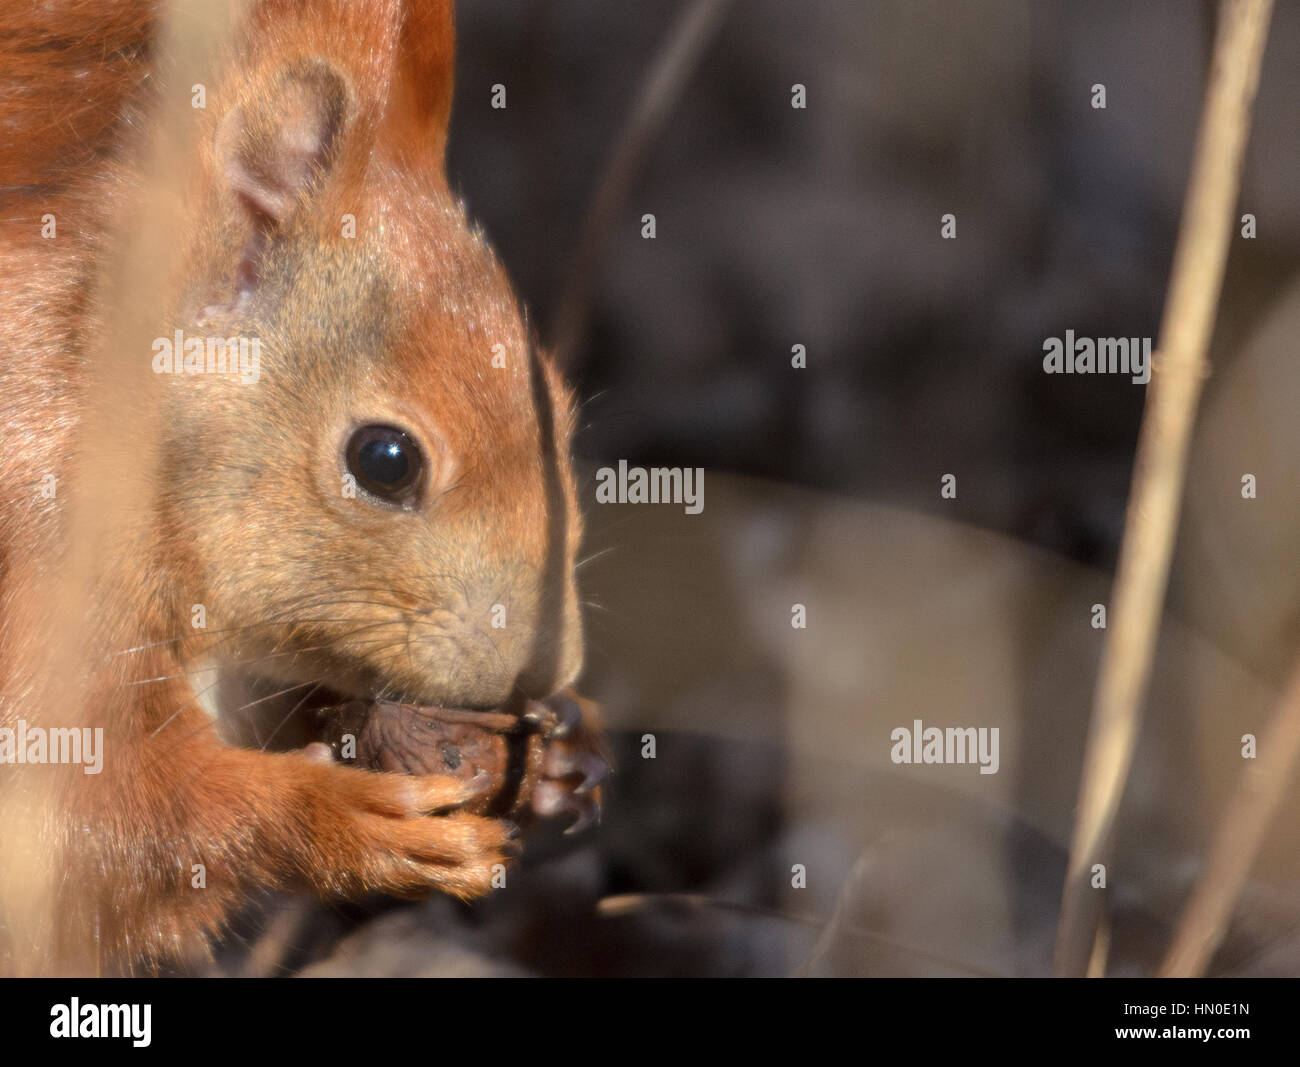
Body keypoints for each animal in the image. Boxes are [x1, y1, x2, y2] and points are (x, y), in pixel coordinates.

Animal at [0, 0, 605, 975]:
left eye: (556, 399)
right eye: (385, 460)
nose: (546, 667)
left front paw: (564, 752)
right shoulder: (40, 540)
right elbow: (74, 818)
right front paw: (339, 820)